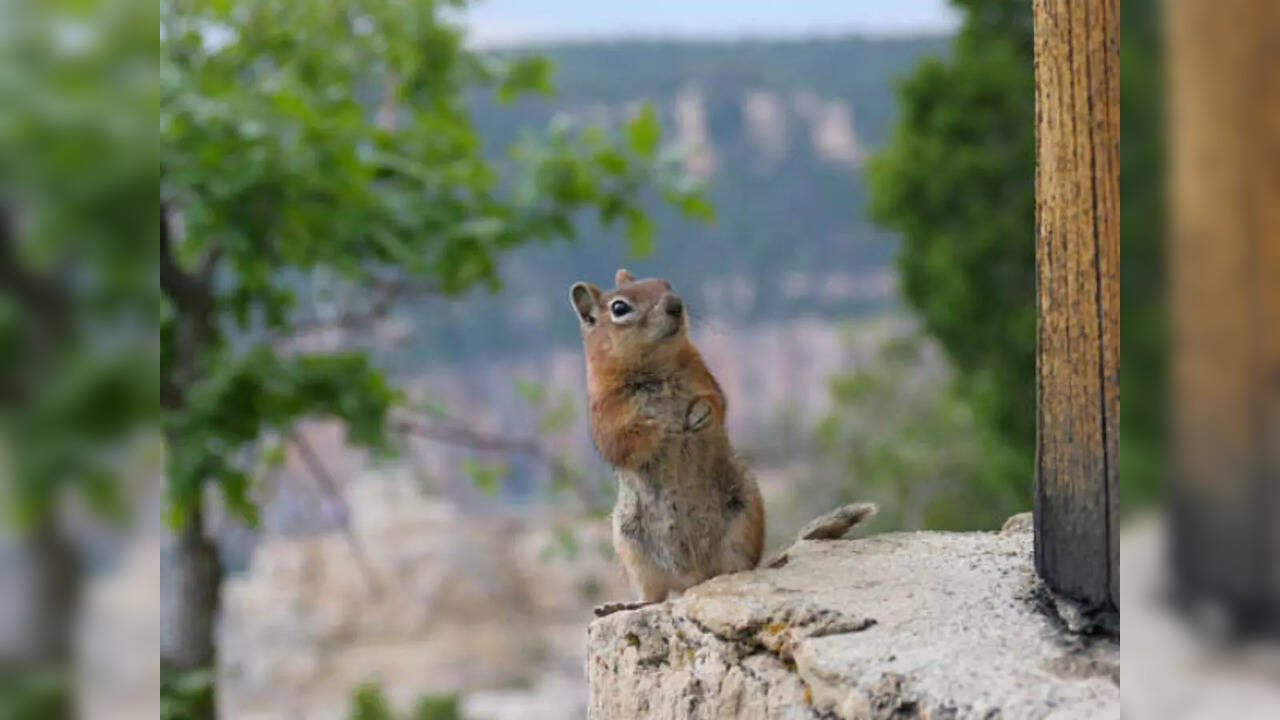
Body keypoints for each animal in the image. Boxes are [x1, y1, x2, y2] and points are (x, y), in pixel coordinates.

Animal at [570, 269, 876, 617]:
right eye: (619, 308)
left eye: (665, 284)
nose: (675, 305)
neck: (654, 369)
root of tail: (695, 578)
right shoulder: (605, 414)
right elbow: (621, 442)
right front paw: (661, 425)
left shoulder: (704, 378)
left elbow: (717, 404)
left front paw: (698, 414)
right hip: (631, 546)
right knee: (654, 596)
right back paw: (622, 605)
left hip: (742, 519)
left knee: (736, 570)